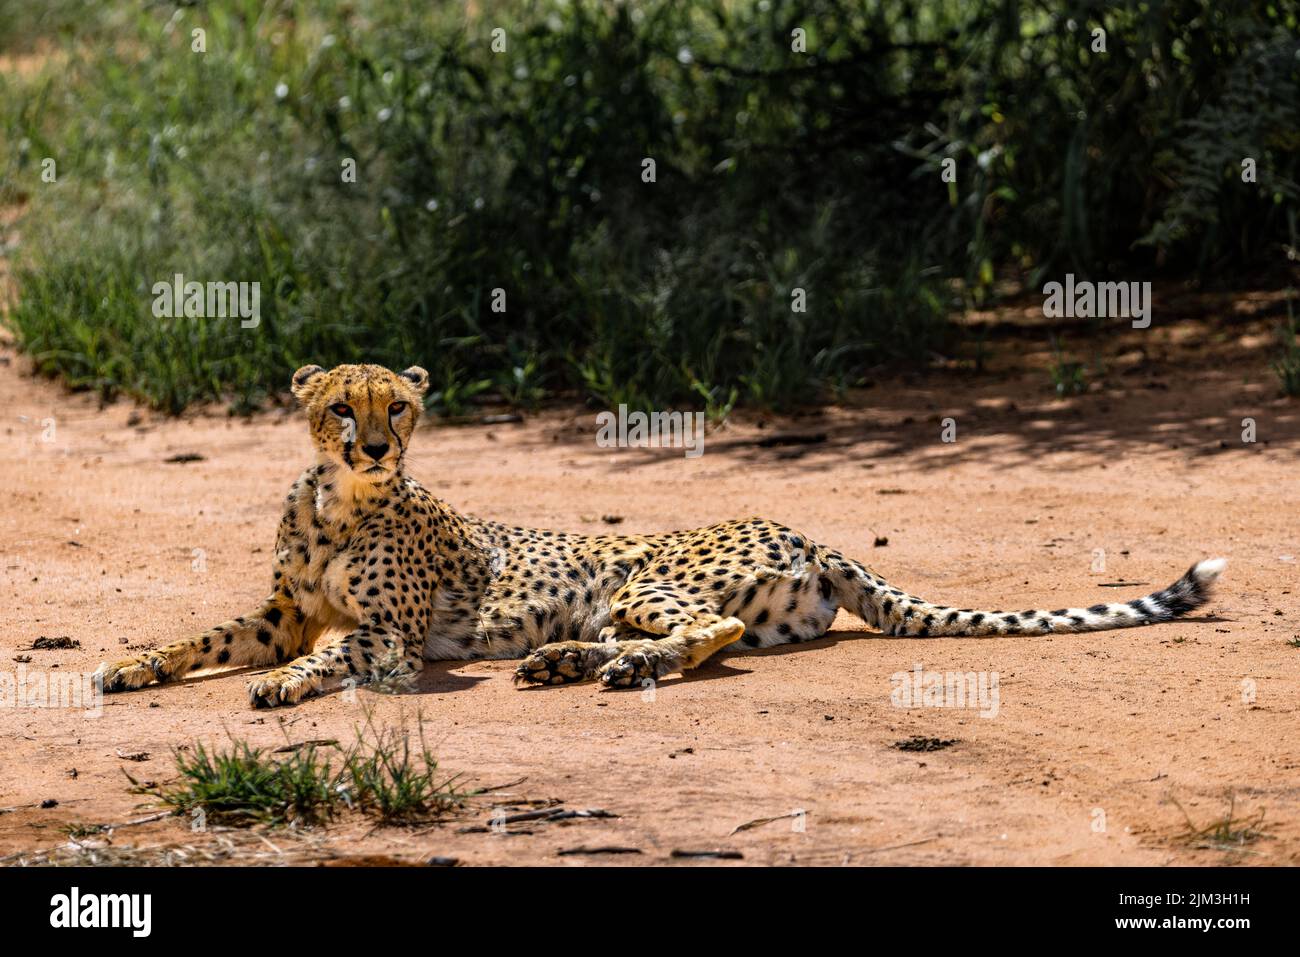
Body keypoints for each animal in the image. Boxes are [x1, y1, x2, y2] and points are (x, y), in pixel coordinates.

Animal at [95, 362, 1228, 707]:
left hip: (645, 576)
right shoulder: (281, 612)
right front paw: (130, 664)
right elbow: (208, 636)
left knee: (704, 635)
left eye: (400, 408)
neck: (341, 504)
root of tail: (799, 522)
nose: (374, 447)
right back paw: (566, 661)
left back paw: (609, 669)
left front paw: (287, 689)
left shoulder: (391, 638)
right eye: (341, 407)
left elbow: (330, 655)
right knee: (694, 639)